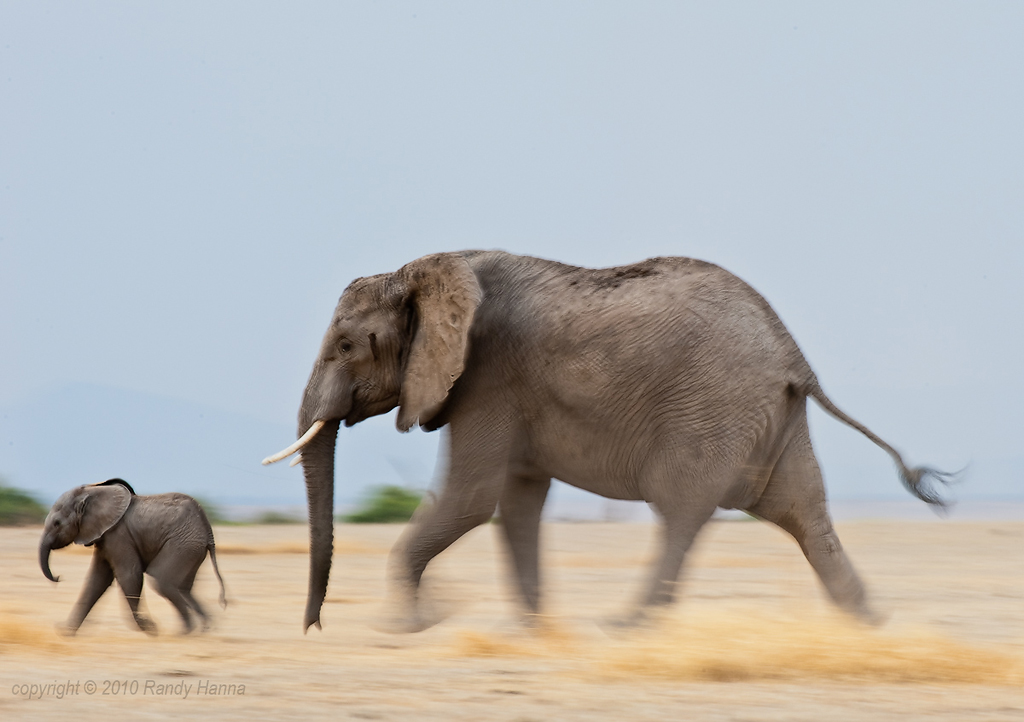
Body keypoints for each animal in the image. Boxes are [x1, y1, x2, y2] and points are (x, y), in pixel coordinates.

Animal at [39, 478, 226, 636]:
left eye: (57, 523)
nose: (59, 577)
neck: (95, 491)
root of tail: (208, 531)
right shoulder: (104, 537)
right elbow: (97, 580)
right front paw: (65, 632)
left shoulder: (118, 535)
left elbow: (128, 575)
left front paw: (151, 629)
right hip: (191, 549)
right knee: (184, 588)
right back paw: (204, 630)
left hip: (182, 544)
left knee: (161, 581)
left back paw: (183, 633)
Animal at [263, 251, 955, 632]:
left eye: (345, 346)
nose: (314, 627)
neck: (423, 271)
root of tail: (796, 356)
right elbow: (516, 502)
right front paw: (531, 632)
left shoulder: (487, 379)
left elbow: (471, 499)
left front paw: (408, 627)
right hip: (772, 420)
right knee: (806, 514)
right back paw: (871, 627)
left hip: (711, 412)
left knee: (680, 514)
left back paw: (624, 626)